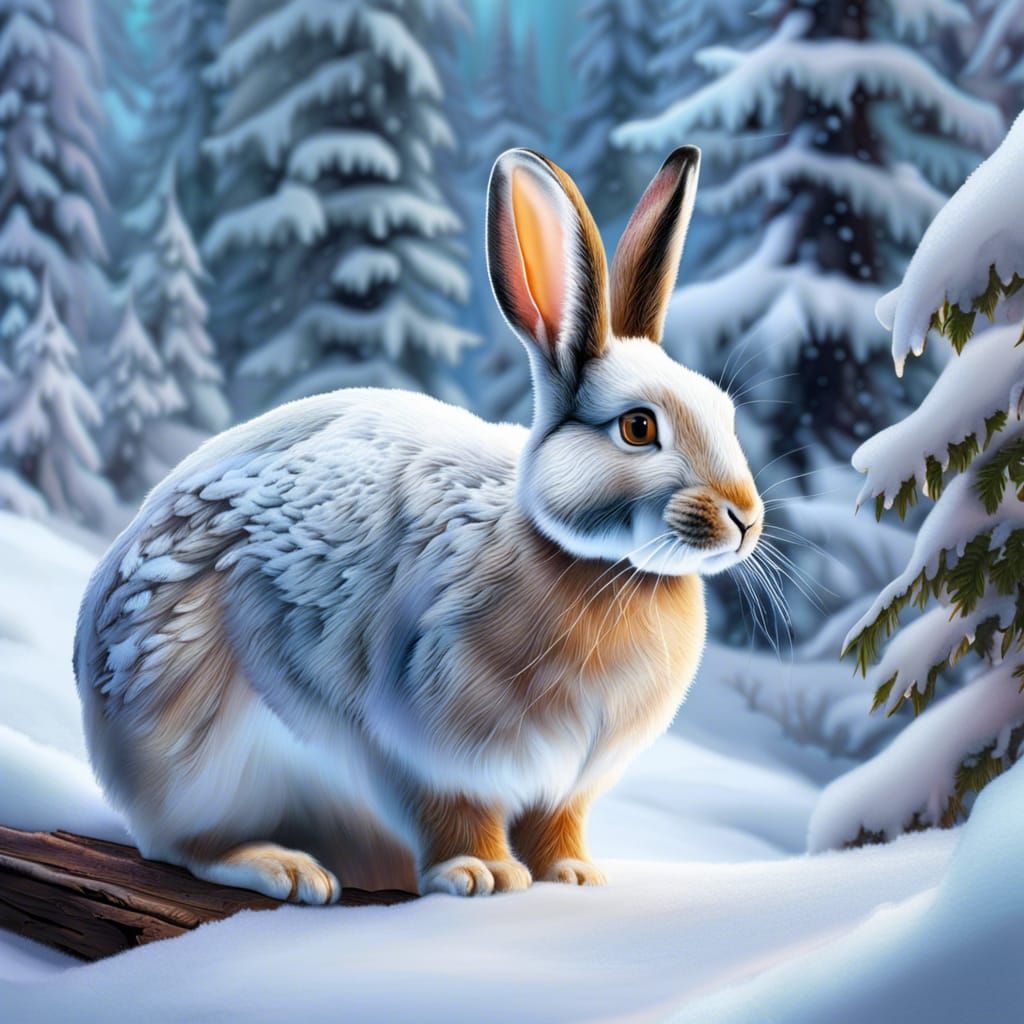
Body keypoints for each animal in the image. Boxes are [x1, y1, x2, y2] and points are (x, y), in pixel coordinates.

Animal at [74, 146, 763, 903]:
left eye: (726, 413)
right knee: (184, 845)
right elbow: (455, 813)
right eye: (639, 428)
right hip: (200, 745)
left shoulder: (567, 784)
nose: (744, 518)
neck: (593, 563)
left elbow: (557, 824)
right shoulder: (428, 739)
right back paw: (287, 869)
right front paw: (482, 875)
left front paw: (576, 875)